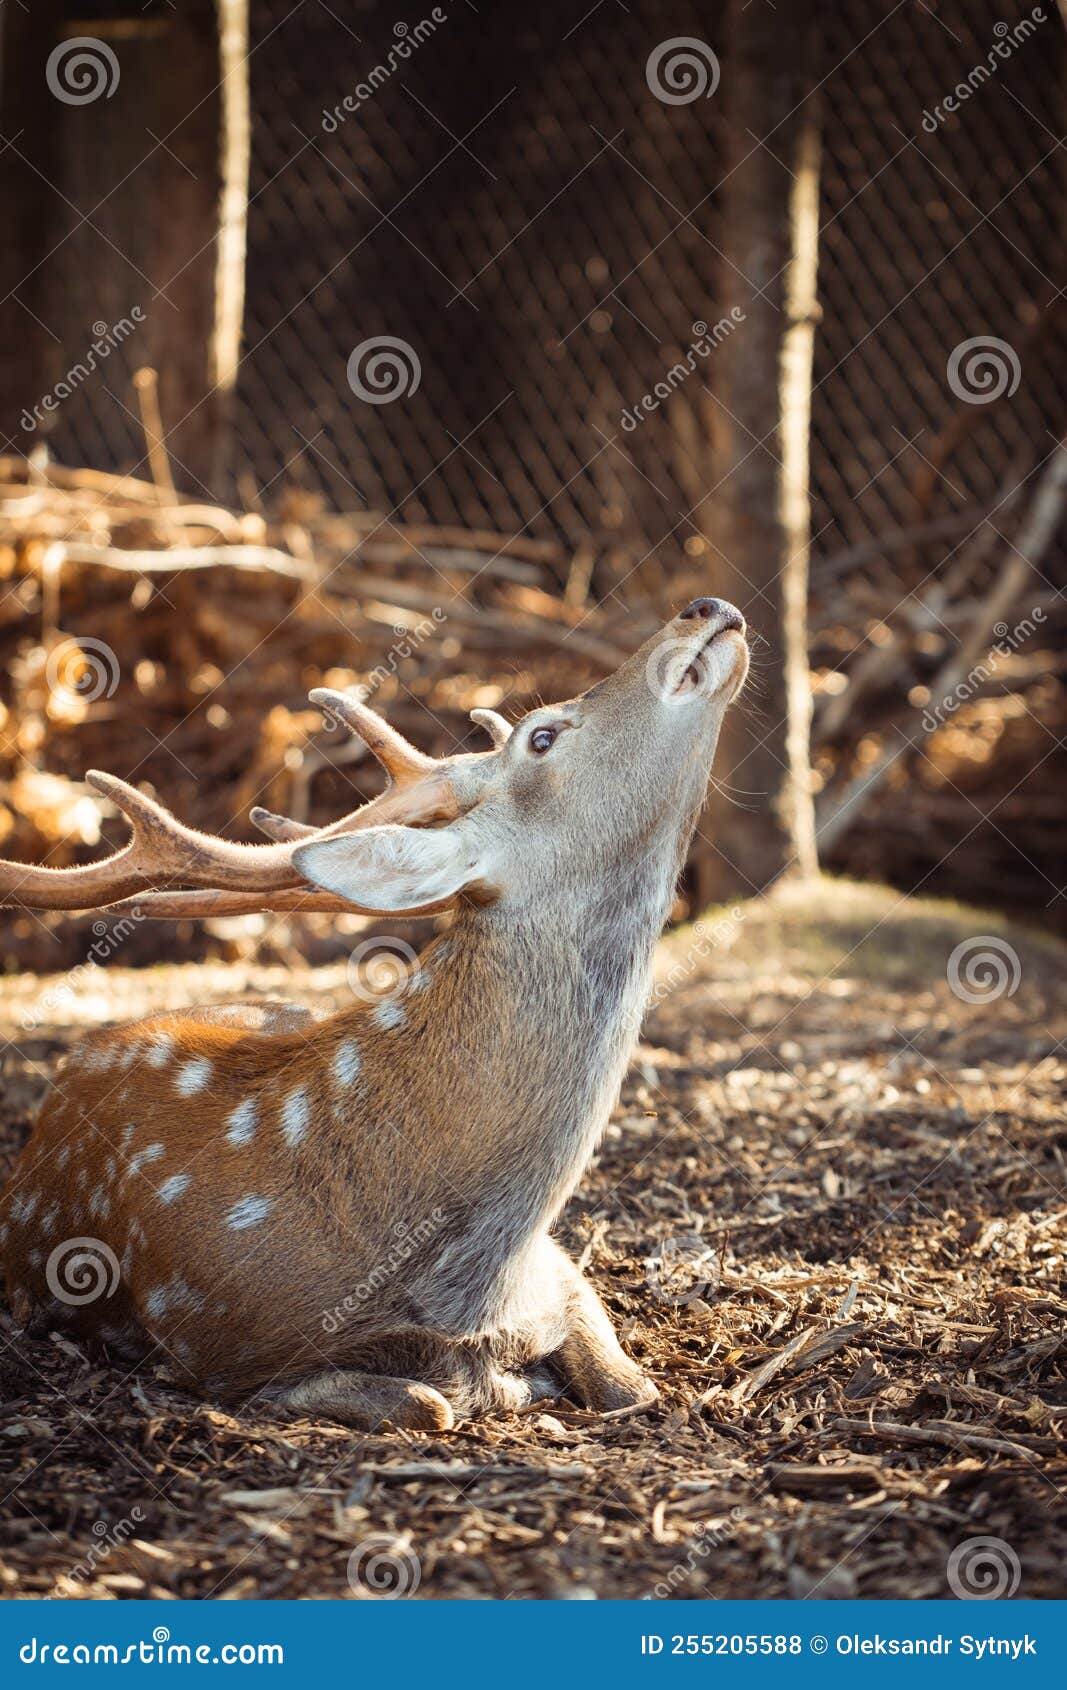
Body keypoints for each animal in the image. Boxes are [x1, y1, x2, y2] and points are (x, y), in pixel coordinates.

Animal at [0, 598, 748, 1431]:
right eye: (542, 735)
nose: (704, 608)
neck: (473, 1281)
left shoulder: (558, 1270)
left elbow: (632, 1387)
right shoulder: (224, 1349)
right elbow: (428, 1403)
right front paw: (494, 1389)